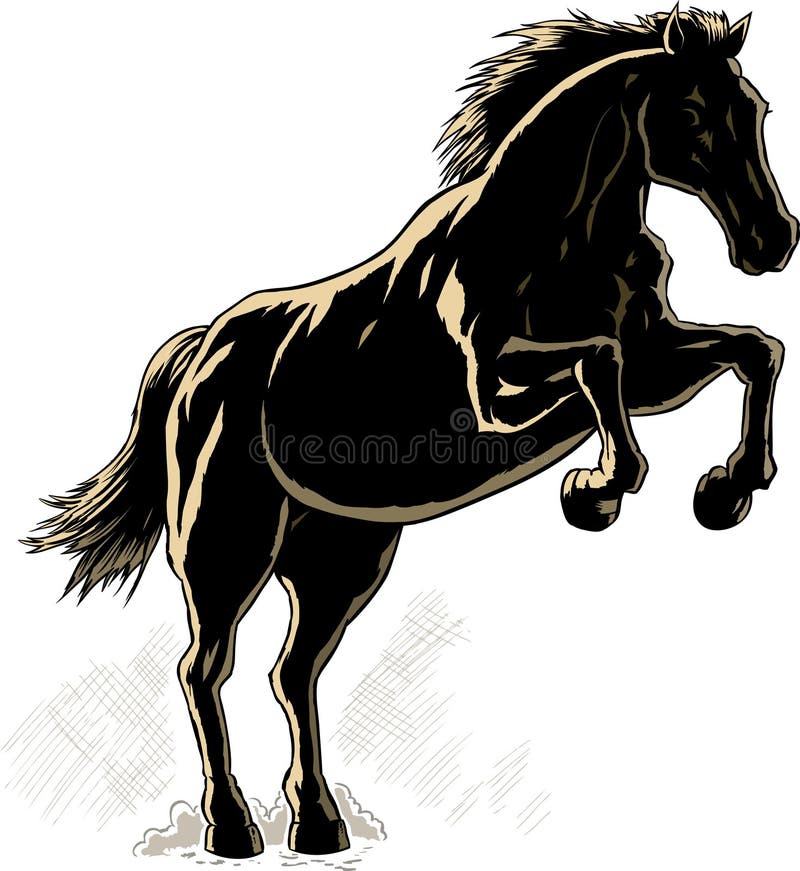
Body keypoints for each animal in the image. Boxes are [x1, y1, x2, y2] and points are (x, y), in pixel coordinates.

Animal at [23, 7, 797, 859]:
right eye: (689, 116)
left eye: (757, 111)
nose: (772, 243)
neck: (551, 239)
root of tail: (198, 354)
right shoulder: (491, 403)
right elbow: (600, 364)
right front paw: (593, 492)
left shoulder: (659, 364)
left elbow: (752, 349)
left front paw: (725, 490)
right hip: (227, 544)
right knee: (204, 669)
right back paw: (232, 825)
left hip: (339, 555)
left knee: (292, 673)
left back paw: (318, 822)